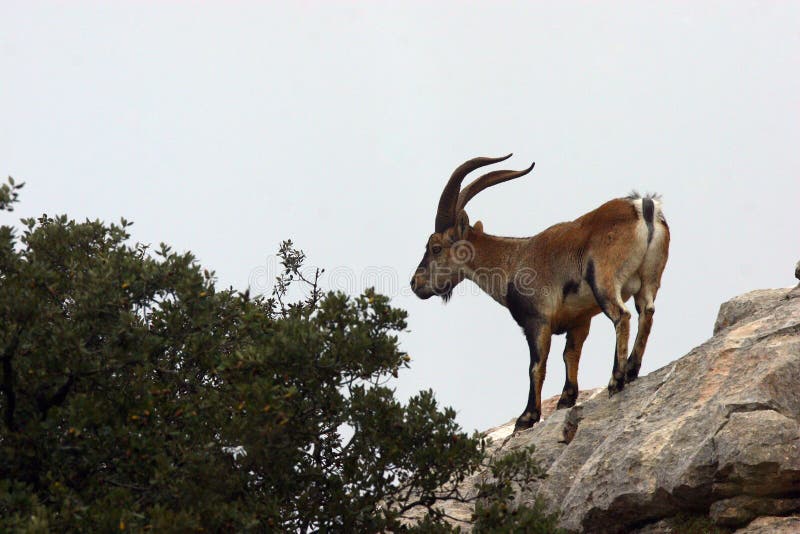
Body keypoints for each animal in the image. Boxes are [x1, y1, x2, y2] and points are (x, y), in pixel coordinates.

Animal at [410, 154, 670, 431]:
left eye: (435, 247)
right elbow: (570, 354)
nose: (415, 283)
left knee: (622, 316)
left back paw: (616, 379)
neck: (512, 260)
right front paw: (566, 400)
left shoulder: (537, 320)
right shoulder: (579, 319)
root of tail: (644, 207)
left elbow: (537, 365)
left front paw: (527, 417)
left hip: (604, 281)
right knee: (647, 312)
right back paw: (631, 370)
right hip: (650, 280)